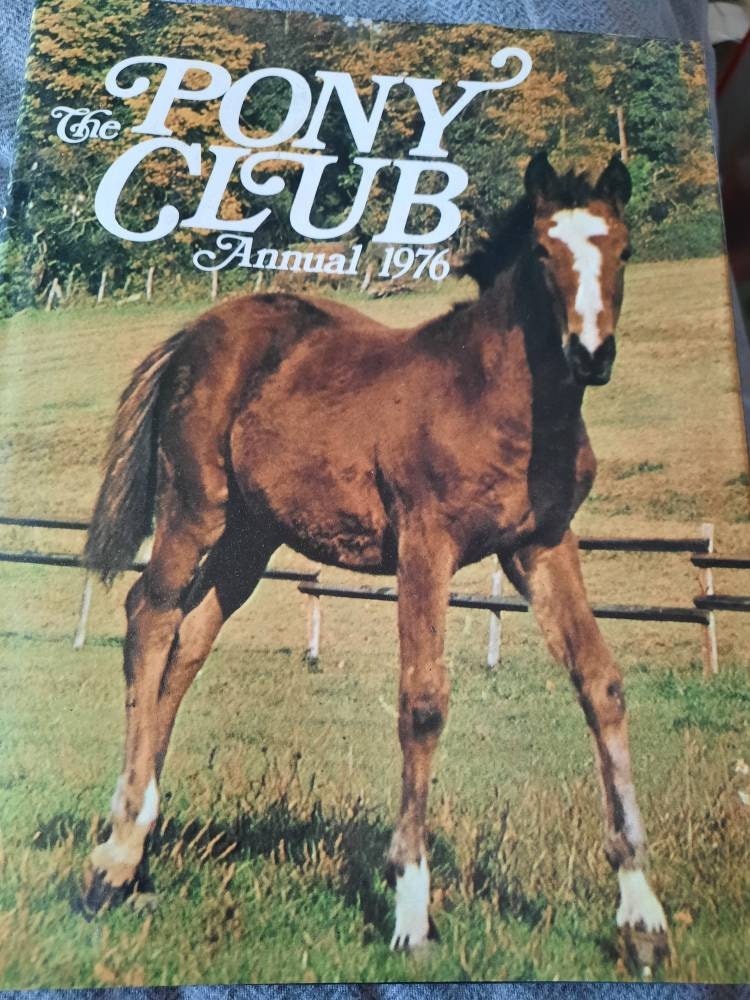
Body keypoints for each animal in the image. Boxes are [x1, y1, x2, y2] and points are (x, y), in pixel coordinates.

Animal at [81, 151, 669, 972]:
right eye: (544, 253)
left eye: (624, 250)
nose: (591, 354)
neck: (498, 400)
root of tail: (196, 330)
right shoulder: (426, 543)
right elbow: (422, 703)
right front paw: (411, 908)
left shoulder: (542, 545)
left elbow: (600, 684)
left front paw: (642, 917)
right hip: (197, 507)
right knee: (149, 616)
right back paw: (113, 855)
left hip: (250, 540)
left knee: (188, 644)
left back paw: (139, 855)